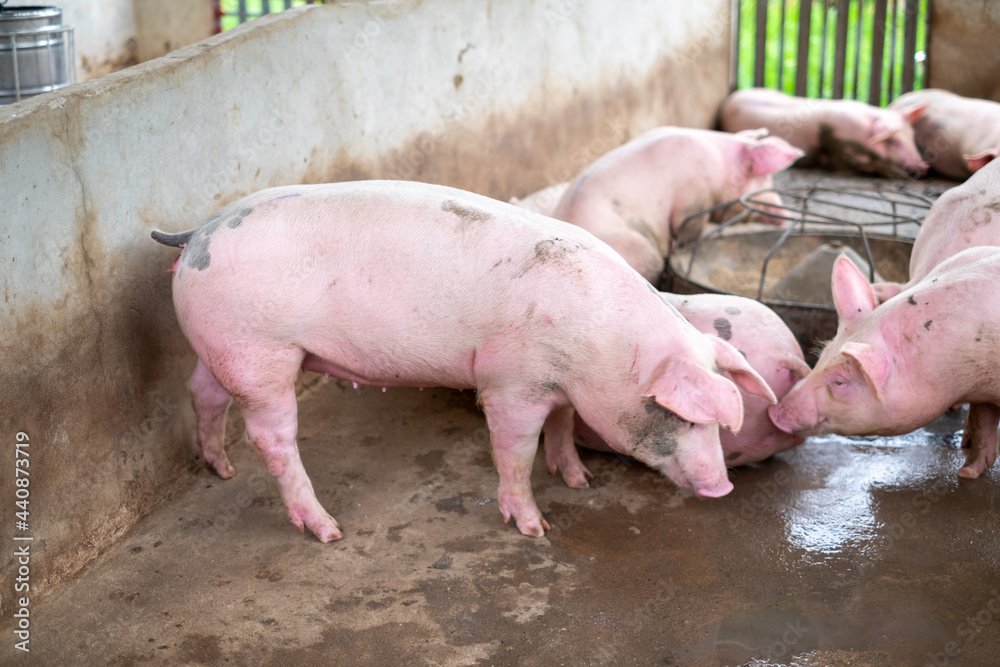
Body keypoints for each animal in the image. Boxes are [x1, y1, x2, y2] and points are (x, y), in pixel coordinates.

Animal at [152, 180, 777, 541]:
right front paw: (535, 527)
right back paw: (328, 530)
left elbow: (563, 426)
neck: (600, 351)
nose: (723, 487)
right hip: (261, 351)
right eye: (682, 416)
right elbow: (515, 451)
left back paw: (221, 470)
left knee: (202, 392)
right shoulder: (512, 382)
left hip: (222, 346)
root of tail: (198, 232)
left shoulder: (559, 384)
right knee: (271, 436)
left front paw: (579, 480)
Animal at [545, 126, 803, 283]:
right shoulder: (694, 196)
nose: (784, 214)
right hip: (639, 246)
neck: (719, 166)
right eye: (766, 179)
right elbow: (687, 229)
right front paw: (682, 247)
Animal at [769, 248, 1000, 479]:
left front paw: (965, 474)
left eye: (839, 381)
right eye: (821, 357)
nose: (774, 411)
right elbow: (983, 423)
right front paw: (968, 472)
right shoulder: (982, 391)